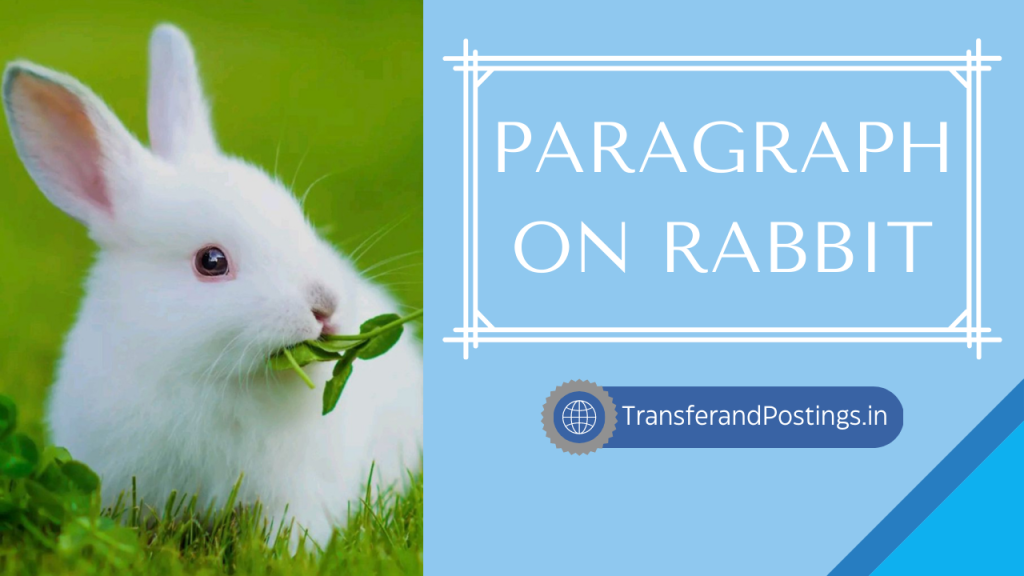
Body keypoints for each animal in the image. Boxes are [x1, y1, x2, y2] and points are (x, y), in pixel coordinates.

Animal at [1, 23, 422, 545]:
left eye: (300, 220)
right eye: (211, 261)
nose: (325, 306)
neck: (208, 376)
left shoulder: (295, 491)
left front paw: (288, 554)